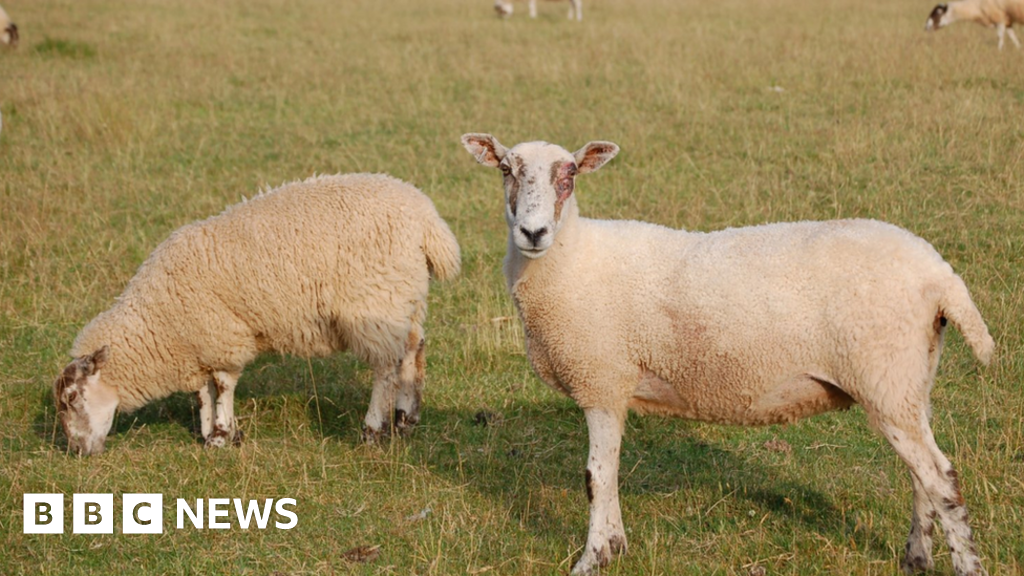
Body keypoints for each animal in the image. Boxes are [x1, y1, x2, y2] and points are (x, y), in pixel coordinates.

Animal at [52, 173, 461, 456]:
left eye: (71, 398)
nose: (77, 451)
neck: (156, 319)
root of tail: (430, 224)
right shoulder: (199, 342)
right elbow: (202, 392)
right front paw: (213, 432)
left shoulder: (221, 334)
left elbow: (221, 385)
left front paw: (220, 436)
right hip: (403, 299)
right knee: (413, 350)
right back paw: (406, 419)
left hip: (375, 304)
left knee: (385, 368)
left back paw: (373, 430)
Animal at [461, 133, 995, 576]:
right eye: (506, 169)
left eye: (569, 173)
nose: (533, 233)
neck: (571, 258)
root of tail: (941, 275)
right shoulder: (608, 384)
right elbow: (606, 476)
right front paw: (616, 547)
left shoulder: (601, 379)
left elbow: (596, 477)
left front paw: (594, 559)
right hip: (910, 381)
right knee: (922, 477)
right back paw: (916, 558)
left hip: (885, 375)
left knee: (941, 480)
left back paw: (965, 566)